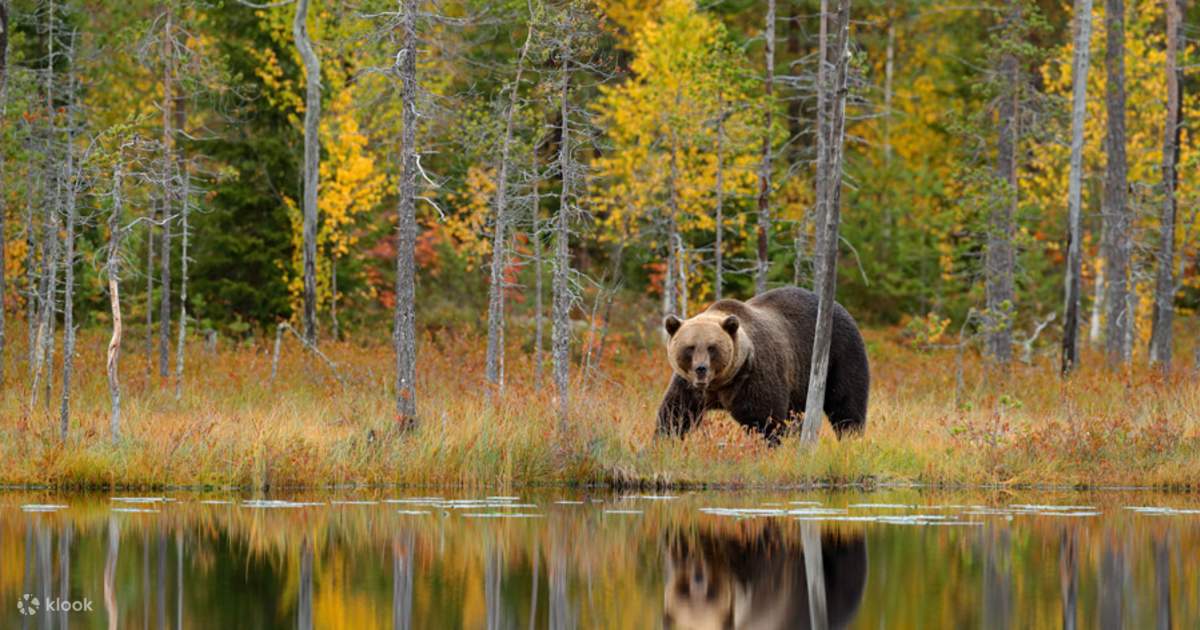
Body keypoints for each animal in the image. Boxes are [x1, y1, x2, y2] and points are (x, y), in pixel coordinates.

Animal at [656, 286, 869, 444]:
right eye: (690, 347)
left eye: (712, 347)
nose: (701, 369)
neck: (720, 382)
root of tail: (839, 307)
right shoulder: (689, 385)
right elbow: (676, 412)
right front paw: (663, 442)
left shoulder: (753, 375)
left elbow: (765, 418)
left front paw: (769, 444)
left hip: (841, 353)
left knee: (846, 402)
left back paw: (851, 436)